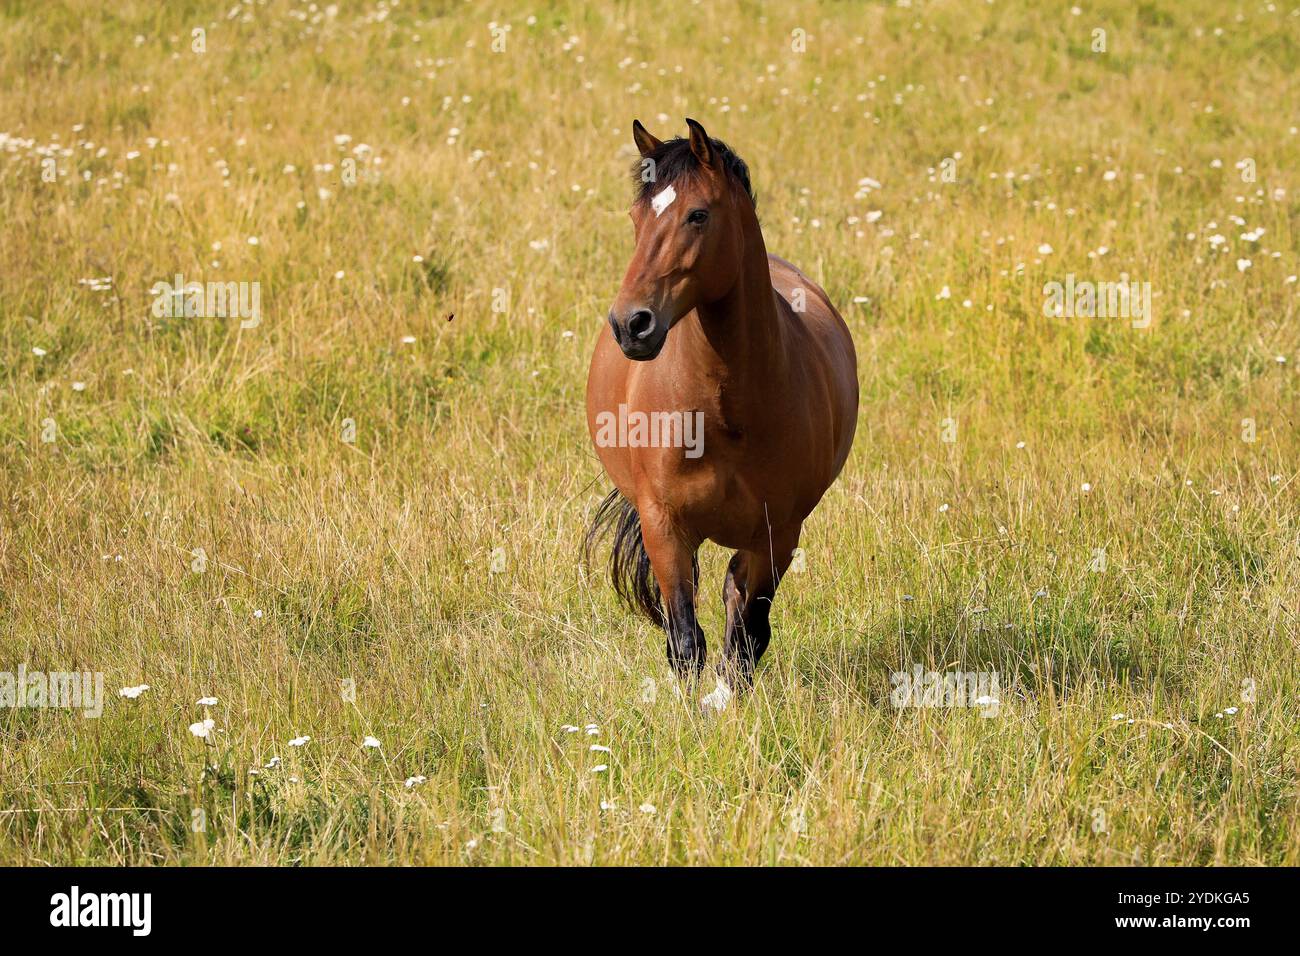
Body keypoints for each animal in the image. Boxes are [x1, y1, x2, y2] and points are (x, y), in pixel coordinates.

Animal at [585, 118, 858, 702]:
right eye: (636, 217)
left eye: (698, 215)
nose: (631, 324)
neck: (723, 409)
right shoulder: (663, 526)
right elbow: (686, 641)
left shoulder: (777, 534)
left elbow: (747, 635)